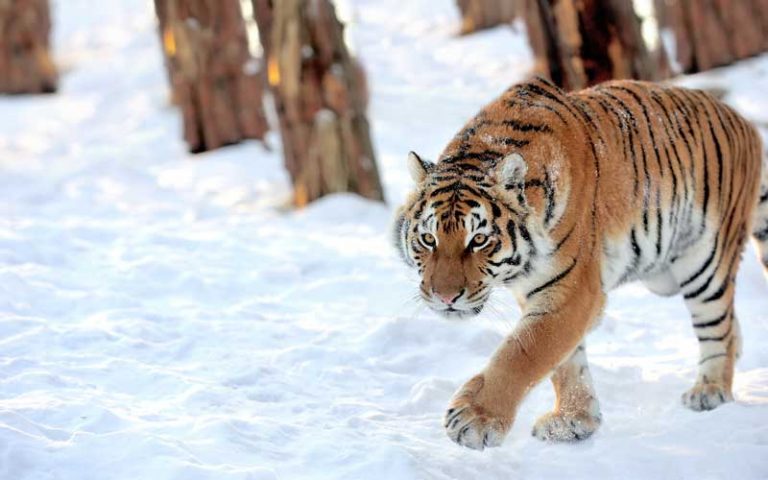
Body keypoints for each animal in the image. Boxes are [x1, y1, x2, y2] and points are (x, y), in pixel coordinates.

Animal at [393, 76, 768, 450]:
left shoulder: (571, 289)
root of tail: (744, 122)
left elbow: (523, 351)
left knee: (718, 328)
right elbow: (564, 361)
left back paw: (710, 391)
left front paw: (474, 419)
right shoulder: (541, 290)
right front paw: (573, 421)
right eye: (429, 239)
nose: (444, 297)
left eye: (479, 240)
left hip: (705, 260)